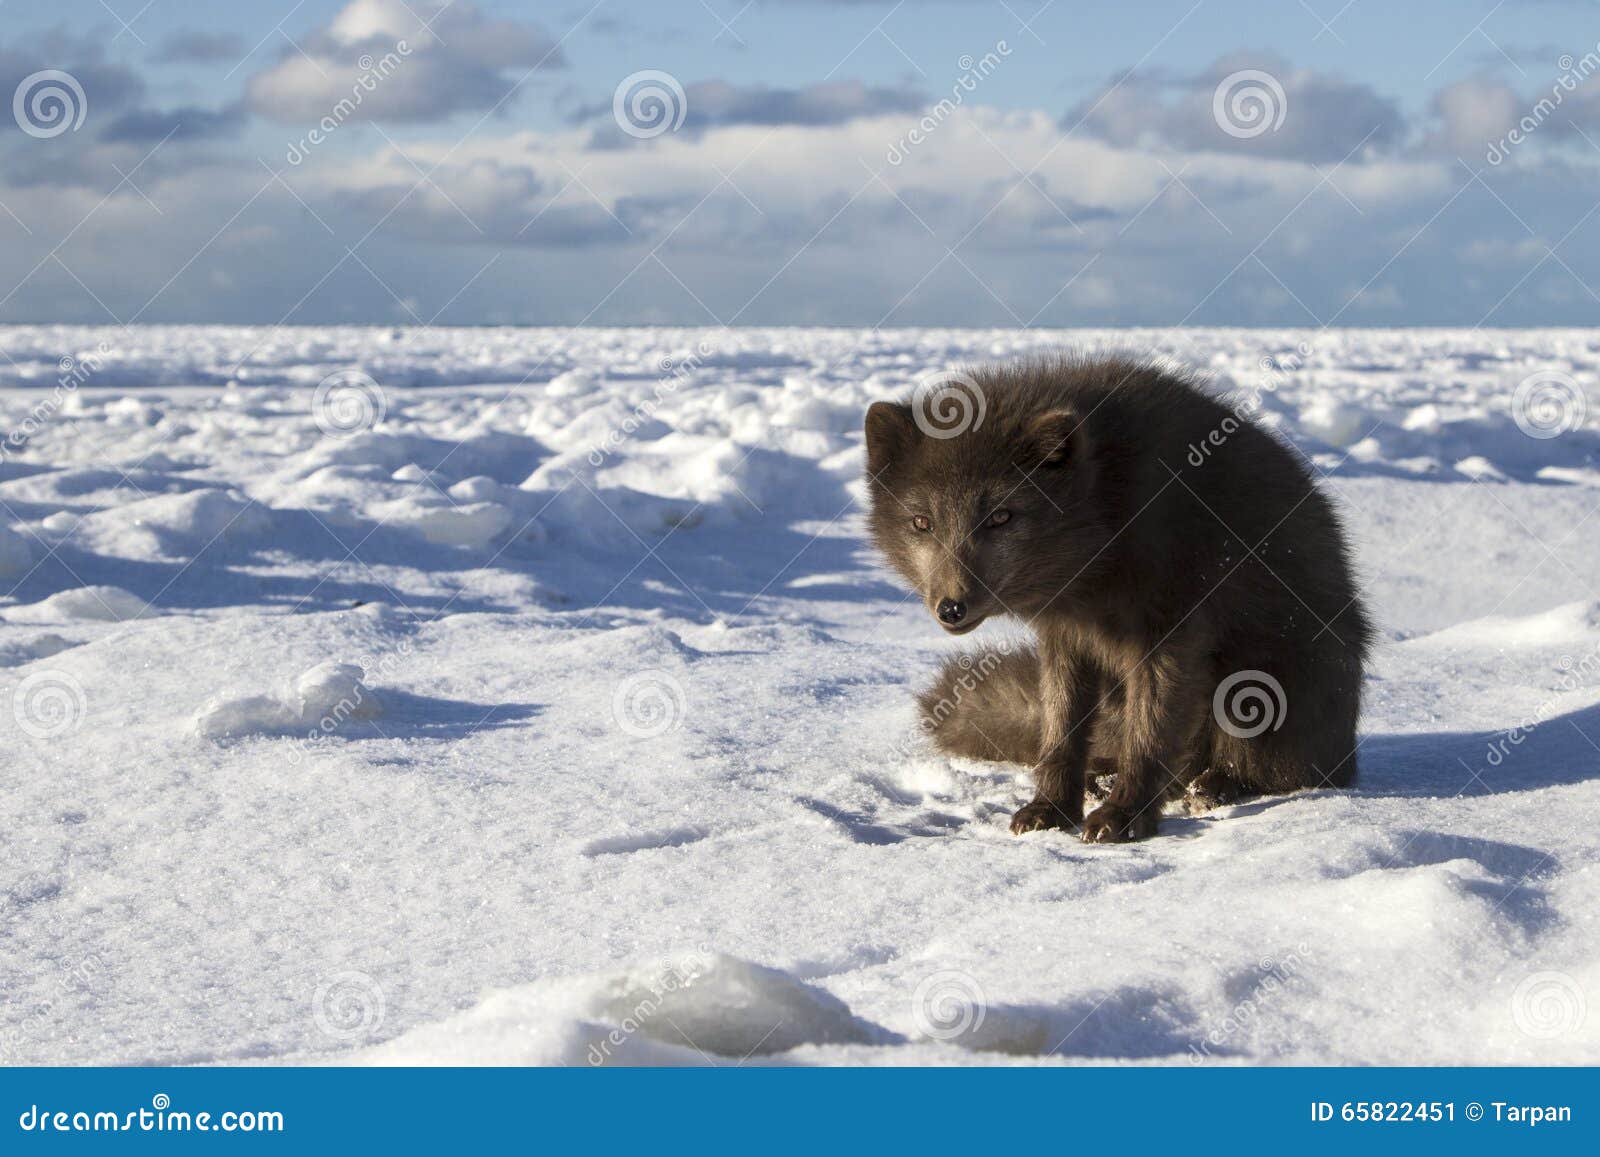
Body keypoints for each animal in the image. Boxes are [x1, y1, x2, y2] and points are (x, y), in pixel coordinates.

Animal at [864, 355, 1373, 843]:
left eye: (1001, 517)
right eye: (922, 523)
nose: (951, 608)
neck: (1111, 513)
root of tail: (1346, 747)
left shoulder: (1170, 634)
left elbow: (1149, 737)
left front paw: (1125, 818)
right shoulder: (1064, 635)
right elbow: (1061, 730)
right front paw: (1051, 808)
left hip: (1261, 690)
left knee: (1274, 771)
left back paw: (1216, 784)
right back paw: (1107, 779)